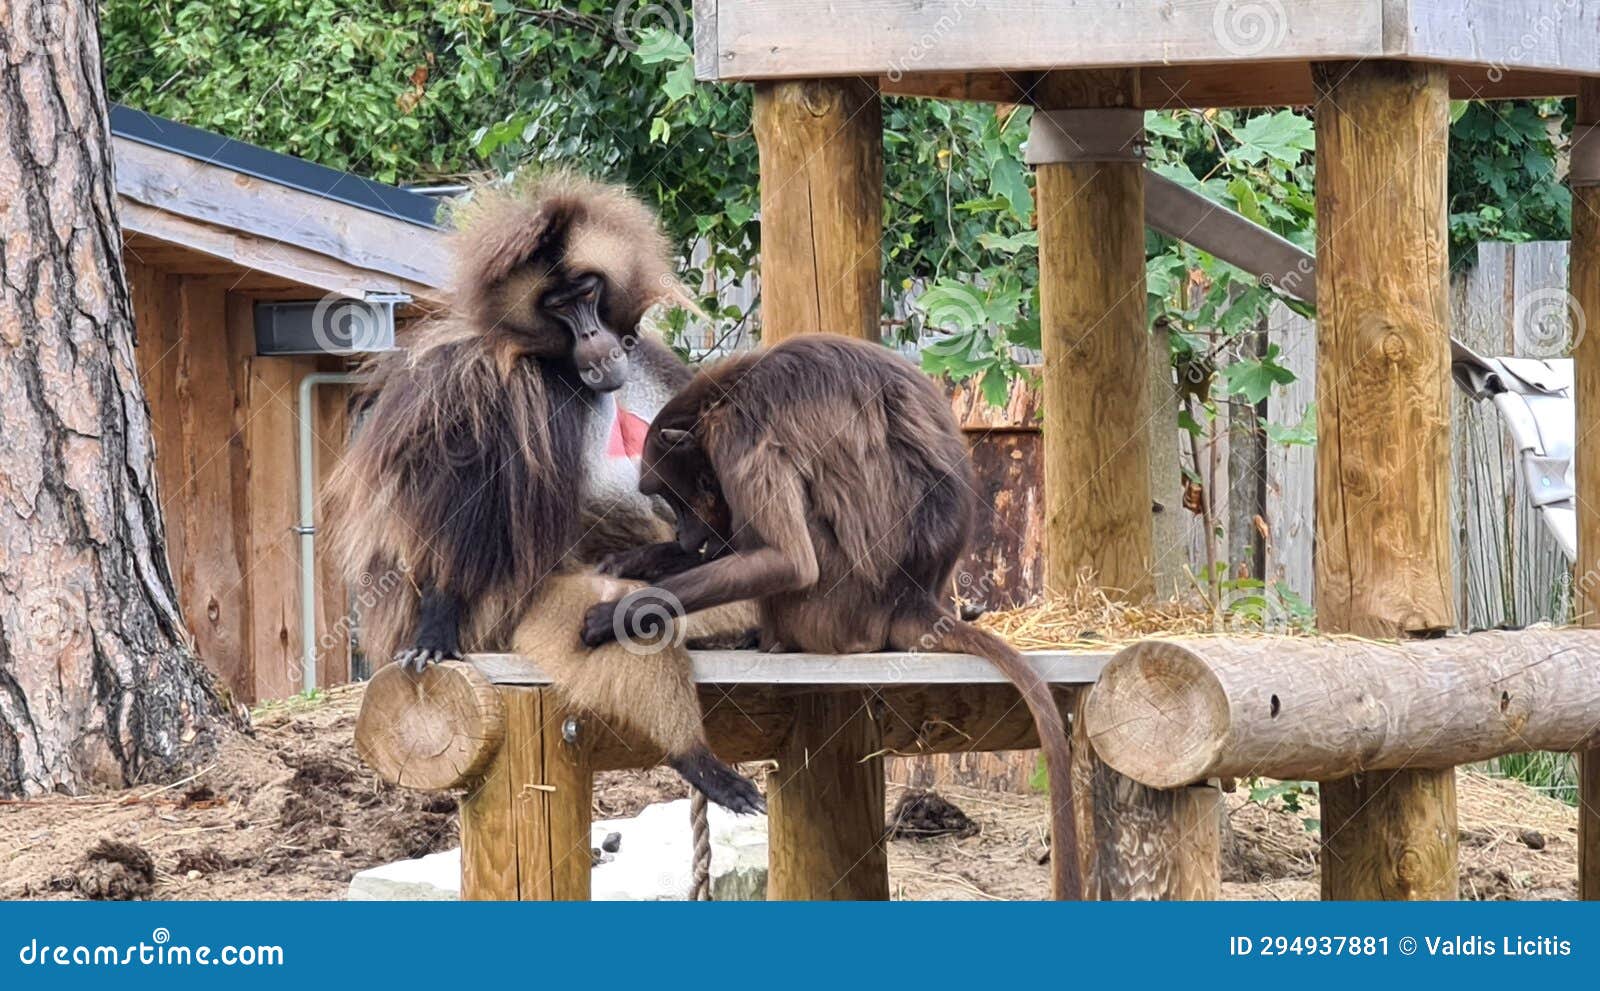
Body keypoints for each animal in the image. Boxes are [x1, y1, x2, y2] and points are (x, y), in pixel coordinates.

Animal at [325, 171, 762, 814]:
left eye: (588, 291)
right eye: (557, 307)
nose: (595, 337)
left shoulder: (649, 361)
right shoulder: (483, 382)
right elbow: (463, 485)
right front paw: (436, 621)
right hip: (516, 613)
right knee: (624, 621)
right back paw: (698, 759)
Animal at [581, 333, 1081, 899]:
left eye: (681, 500)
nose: (686, 537)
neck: (729, 392)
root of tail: (911, 599)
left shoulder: (737, 442)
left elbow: (787, 561)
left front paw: (617, 613)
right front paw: (633, 564)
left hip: (830, 610)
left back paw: (766, 638)